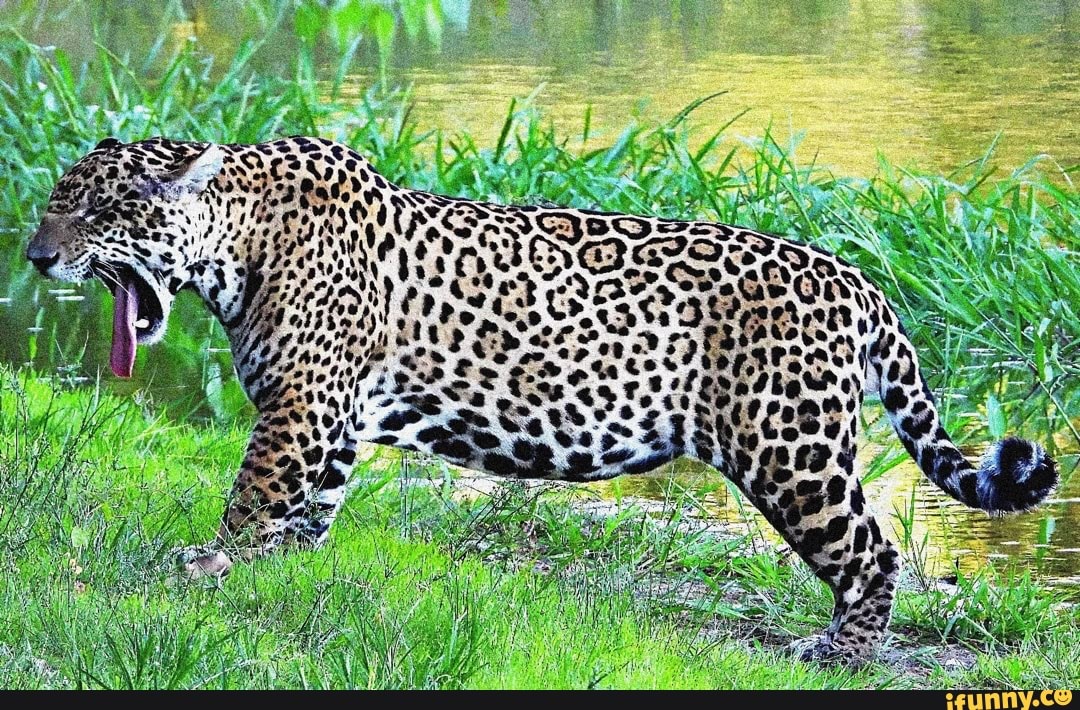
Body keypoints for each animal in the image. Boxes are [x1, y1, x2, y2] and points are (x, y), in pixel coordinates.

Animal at [26, 136, 1057, 664]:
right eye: (53, 202)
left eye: (97, 209)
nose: (35, 255)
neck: (237, 239)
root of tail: (863, 283)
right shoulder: (332, 413)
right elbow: (309, 509)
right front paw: (280, 577)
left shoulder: (300, 407)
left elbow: (252, 497)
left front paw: (204, 571)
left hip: (789, 447)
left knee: (873, 551)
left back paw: (840, 656)